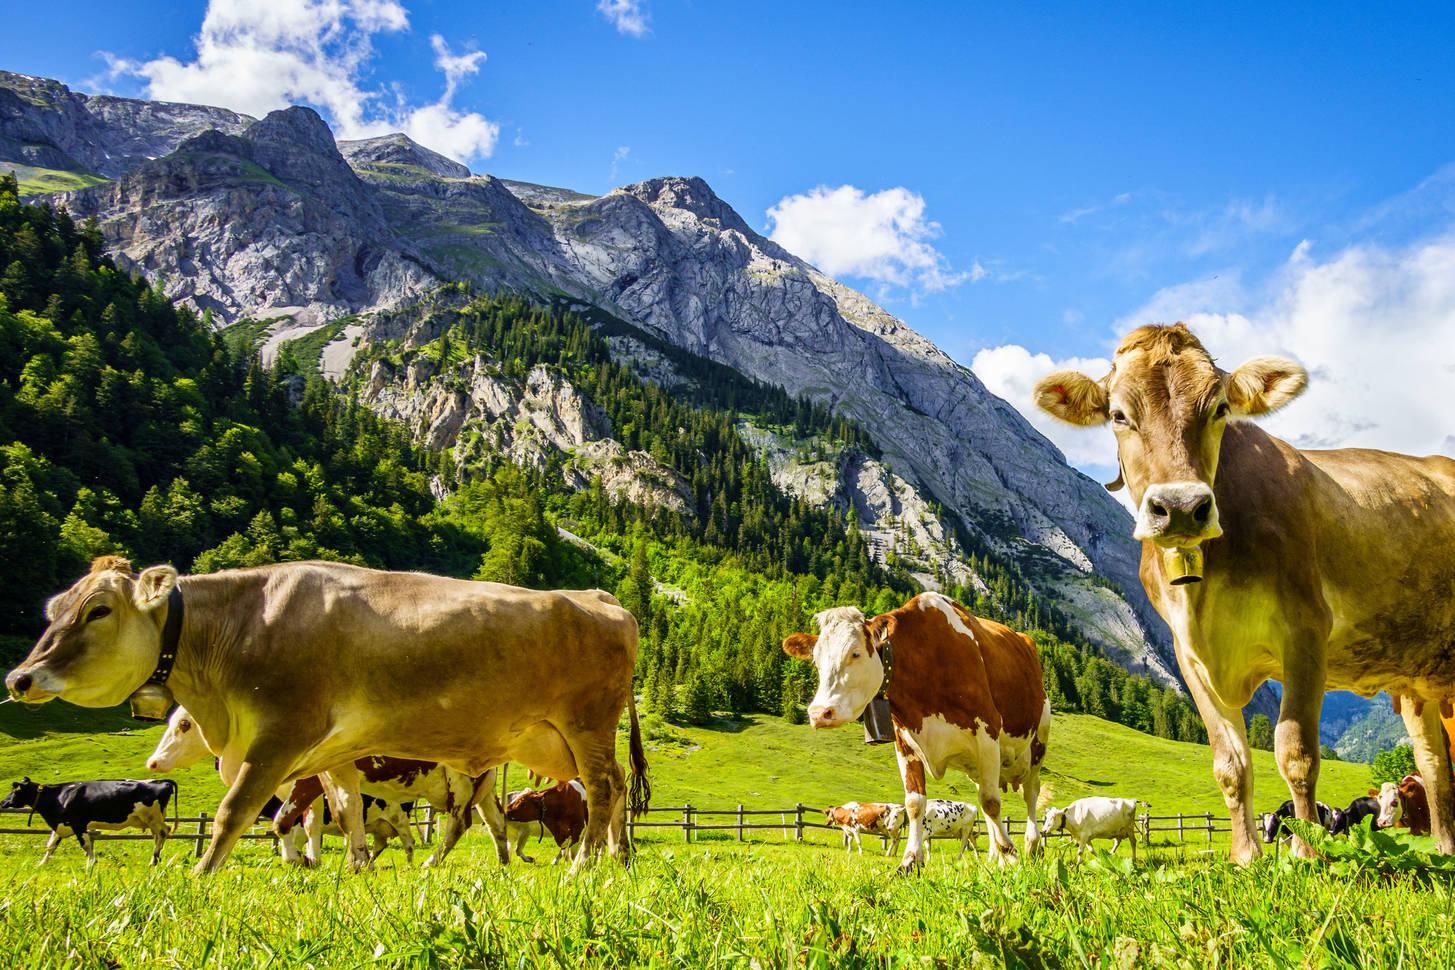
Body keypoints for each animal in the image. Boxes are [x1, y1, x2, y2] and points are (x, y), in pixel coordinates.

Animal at [0, 777, 176, 865]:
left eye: (14, 791)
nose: (2, 802)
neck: (59, 796)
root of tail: (162, 781)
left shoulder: (78, 823)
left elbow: (85, 845)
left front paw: (91, 862)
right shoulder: (62, 824)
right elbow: (51, 846)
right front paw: (42, 863)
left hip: (152, 817)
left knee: (163, 832)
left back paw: (154, 859)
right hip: (152, 819)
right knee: (159, 835)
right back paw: (156, 858)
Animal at [148, 705, 507, 867]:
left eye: (184, 724)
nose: (153, 762)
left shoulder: (309, 780)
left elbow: (299, 822)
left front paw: (310, 859)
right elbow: (294, 822)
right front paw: (306, 858)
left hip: (460, 783)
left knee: (459, 824)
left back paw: (431, 861)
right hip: (484, 789)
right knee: (497, 823)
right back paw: (503, 862)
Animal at [784, 591, 1051, 869]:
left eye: (855, 653)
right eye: (816, 661)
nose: (819, 713)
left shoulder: (986, 733)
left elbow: (991, 803)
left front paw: (1012, 854)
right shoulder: (904, 742)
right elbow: (915, 804)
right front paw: (910, 861)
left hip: (1037, 745)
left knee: (1029, 795)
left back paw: (1031, 847)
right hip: (979, 767)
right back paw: (993, 856)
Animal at [1034, 322, 1455, 861]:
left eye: (1218, 409)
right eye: (1119, 415)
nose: (1181, 507)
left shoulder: (1305, 631)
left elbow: (1296, 752)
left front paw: (1305, 851)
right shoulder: (1189, 655)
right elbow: (1230, 763)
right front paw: (1245, 856)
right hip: (1417, 679)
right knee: (1434, 762)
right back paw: (1444, 849)